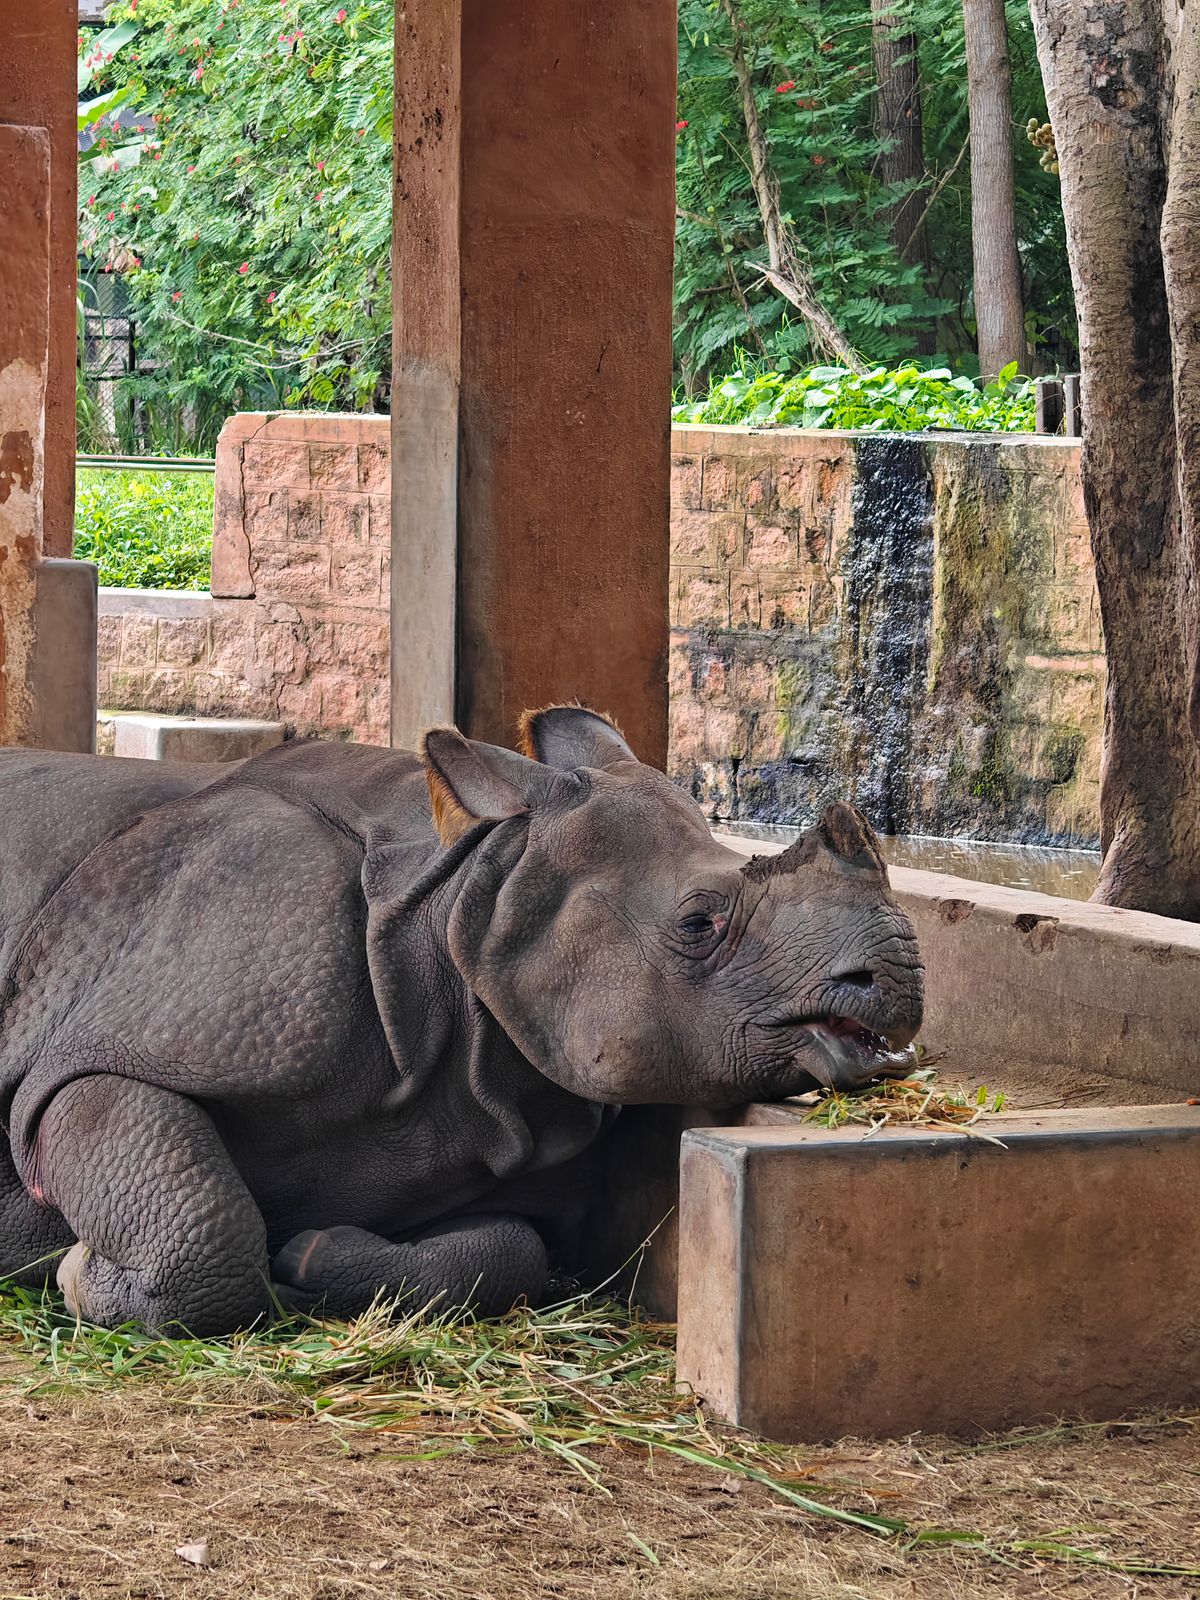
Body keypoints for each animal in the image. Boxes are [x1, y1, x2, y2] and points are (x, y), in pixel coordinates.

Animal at [0, 707, 922, 1334]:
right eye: (699, 923)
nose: (899, 981)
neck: (466, 906)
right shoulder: (127, 1039)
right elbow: (194, 1222)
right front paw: (77, 1274)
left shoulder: (511, 1104)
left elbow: (511, 1252)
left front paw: (307, 1257)